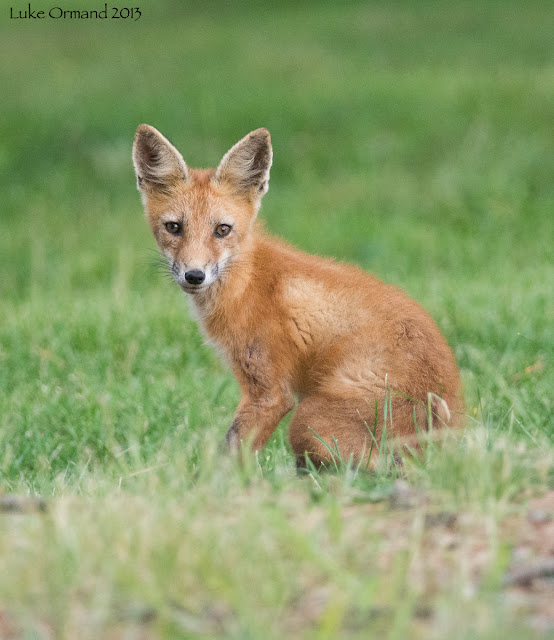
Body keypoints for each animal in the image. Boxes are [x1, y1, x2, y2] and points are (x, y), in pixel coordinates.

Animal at [132, 124, 464, 467]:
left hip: (306, 421)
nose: (195, 275)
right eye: (174, 227)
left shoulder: (269, 394)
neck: (248, 282)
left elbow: (231, 454)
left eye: (222, 230)